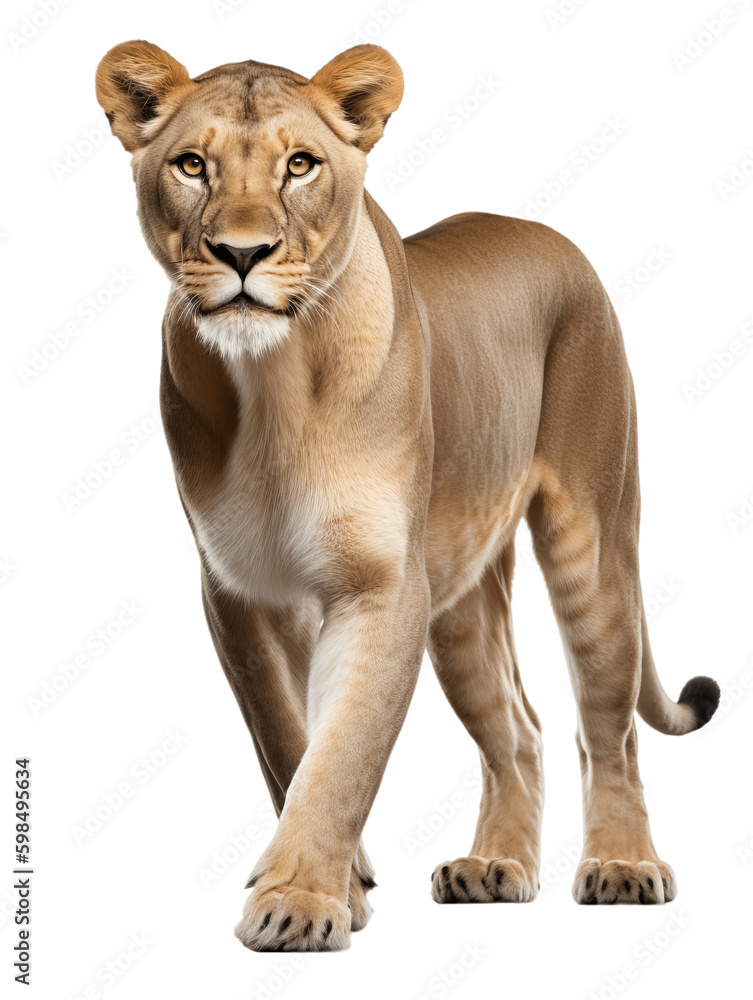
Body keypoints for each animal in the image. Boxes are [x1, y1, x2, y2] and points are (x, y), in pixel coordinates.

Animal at [96, 41, 720, 951]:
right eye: (190, 165)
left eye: (299, 164)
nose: (242, 253)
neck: (273, 383)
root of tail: (545, 232)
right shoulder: (239, 591)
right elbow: (287, 741)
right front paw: (341, 883)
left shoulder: (383, 586)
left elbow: (344, 750)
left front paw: (300, 902)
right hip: (459, 602)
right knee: (517, 730)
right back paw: (493, 868)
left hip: (592, 539)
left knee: (607, 728)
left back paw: (622, 866)